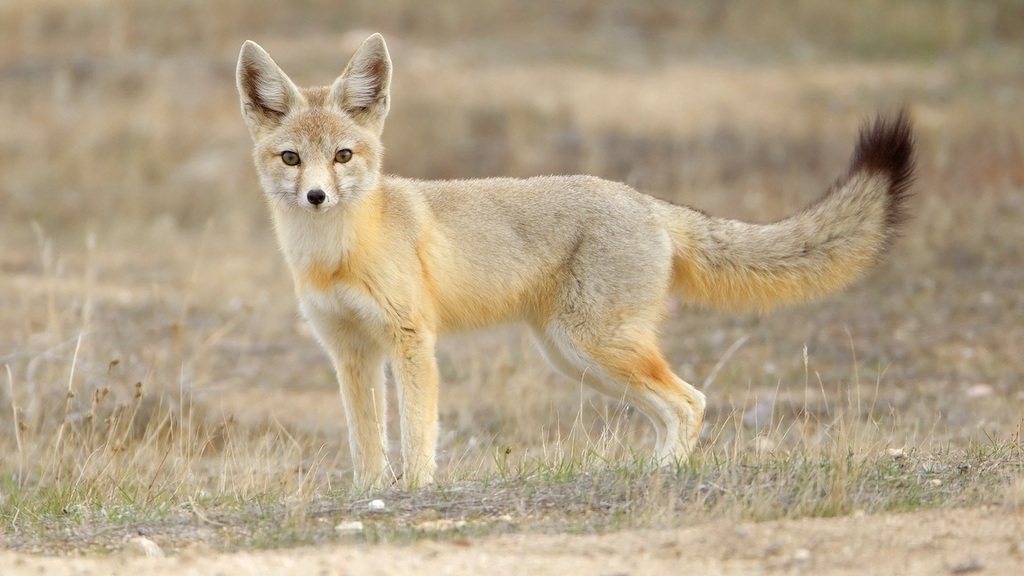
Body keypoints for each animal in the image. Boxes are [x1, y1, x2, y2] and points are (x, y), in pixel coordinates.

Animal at [236, 33, 914, 489]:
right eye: (292, 158)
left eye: (344, 156)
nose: (317, 196)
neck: (337, 253)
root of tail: (647, 202)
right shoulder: (350, 352)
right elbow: (366, 444)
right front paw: (370, 495)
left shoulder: (411, 341)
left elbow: (417, 435)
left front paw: (417, 491)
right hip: (576, 357)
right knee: (677, 406)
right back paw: (652, 470)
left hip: (594, 345)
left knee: (690, 401)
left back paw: (659, 475)